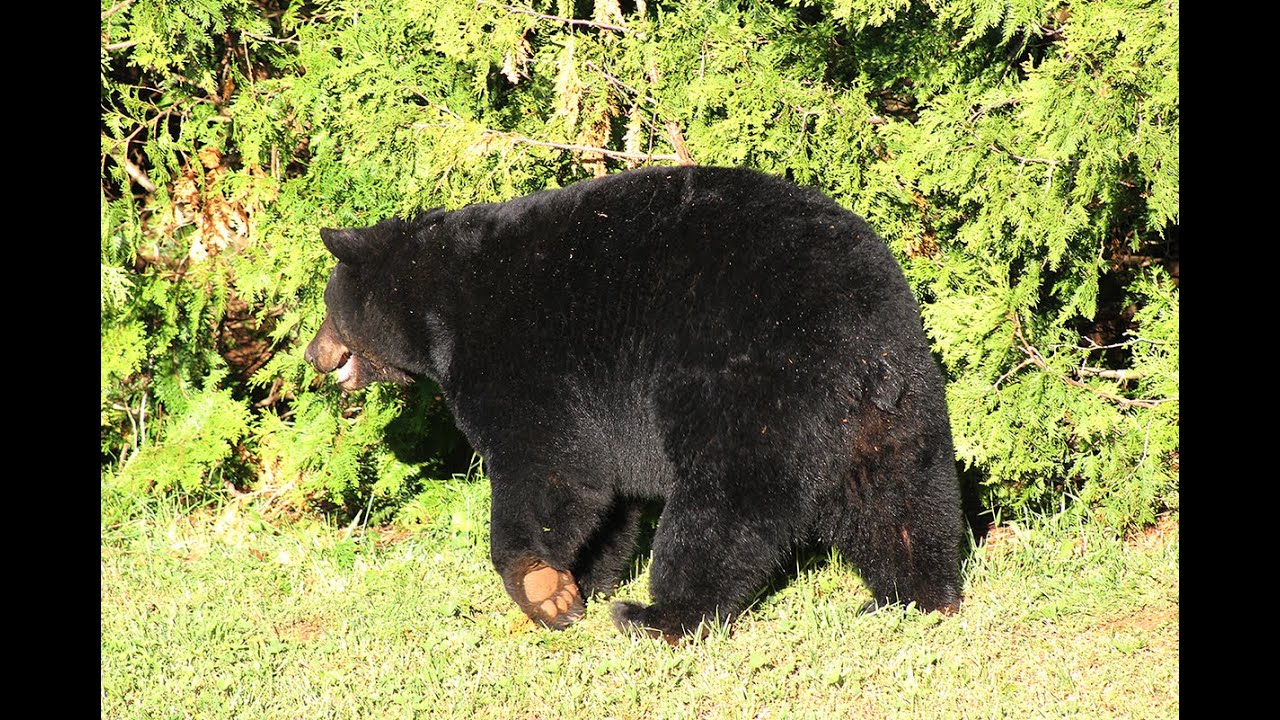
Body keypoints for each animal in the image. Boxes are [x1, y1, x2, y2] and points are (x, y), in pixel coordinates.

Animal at [304, 165, 963, 641]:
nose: (312, 353)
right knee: (904, 499)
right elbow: (604, 495)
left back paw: (657, 616)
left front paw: (542, 589)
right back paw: (916, 598)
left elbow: (549, 465)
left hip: (747, 387)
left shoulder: (517, 357)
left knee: (721, 509)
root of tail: (856, 338)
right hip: (901, 398)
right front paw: (578, 584)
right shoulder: (600, 410)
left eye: (329, 307)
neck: (437, 303)